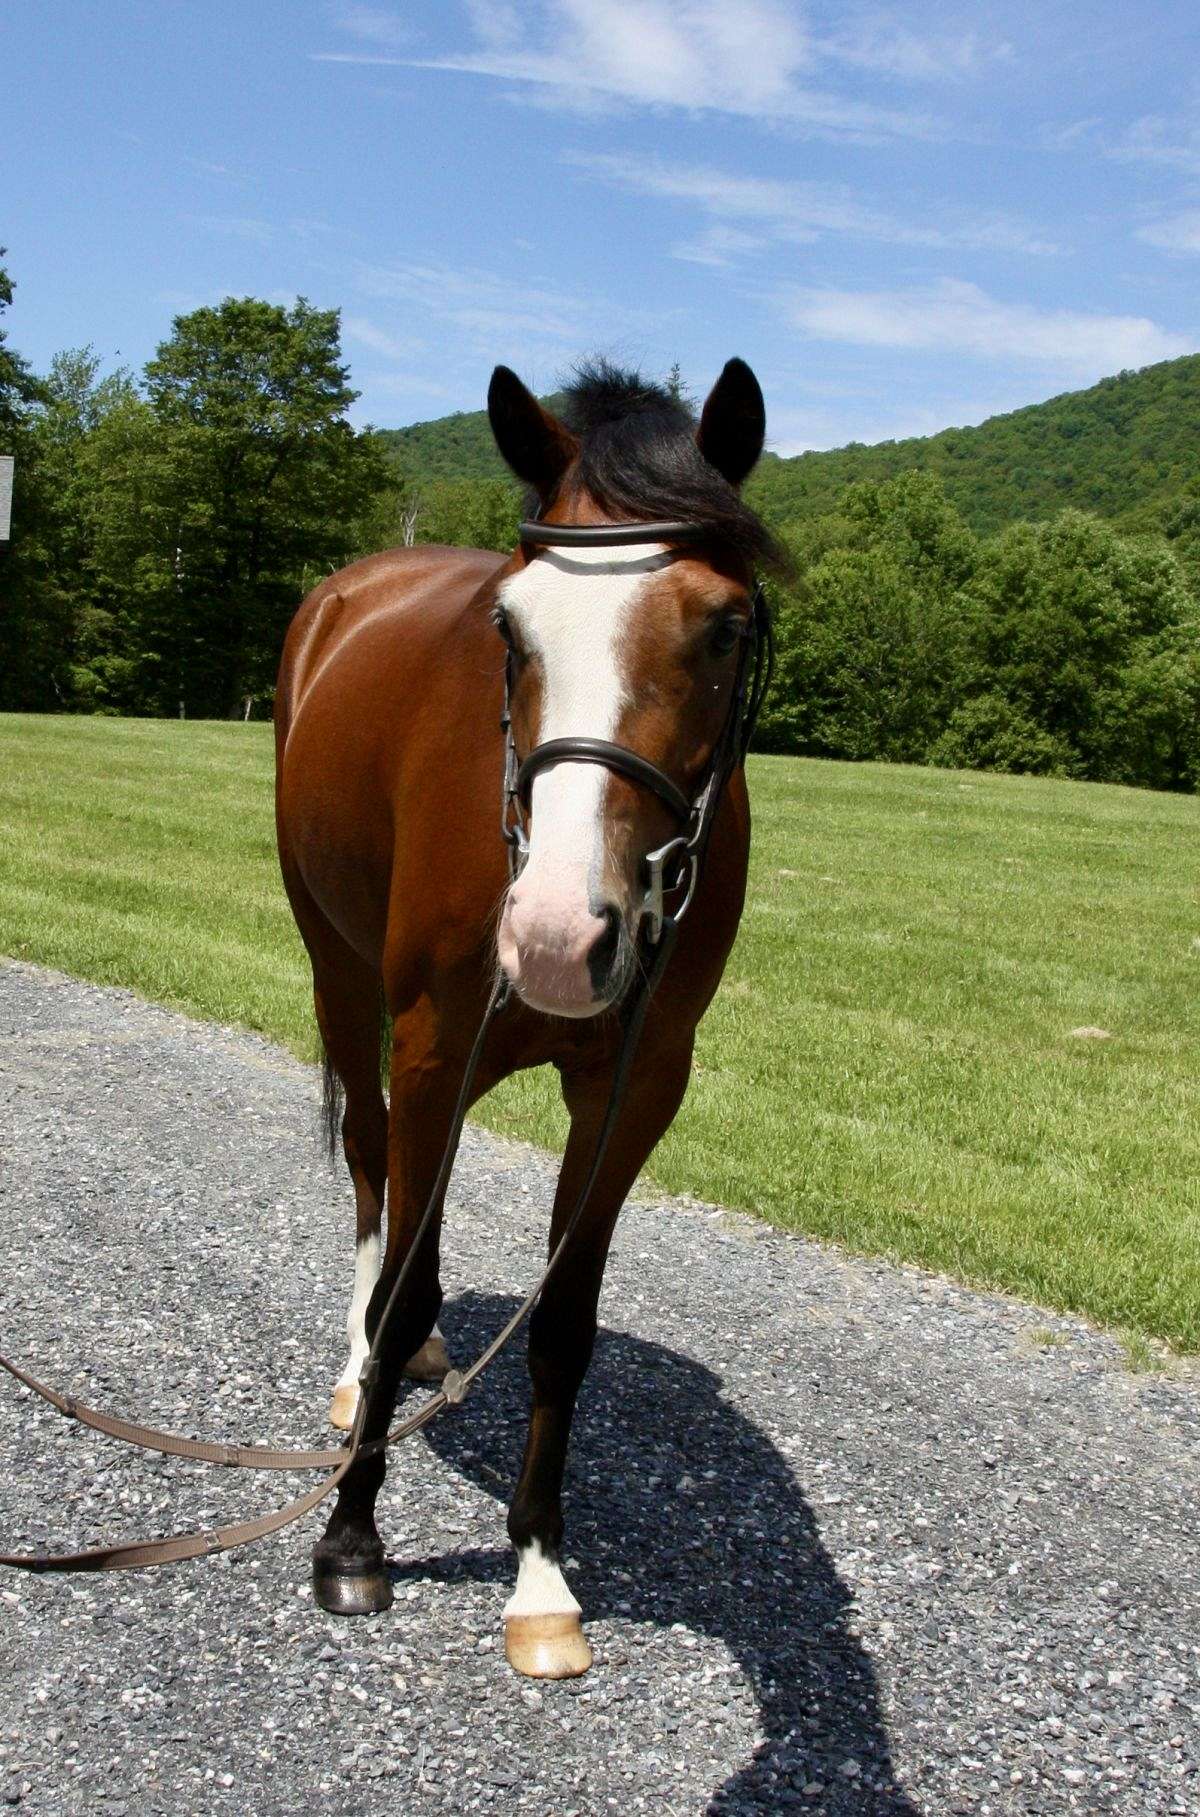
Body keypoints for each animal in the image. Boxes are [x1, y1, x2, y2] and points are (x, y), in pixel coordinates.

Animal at [273, 356, 777, 1679]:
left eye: (725, 625)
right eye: (510, 627)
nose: (556, 933)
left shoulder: (635, 1085)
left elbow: (562, 1326)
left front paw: (541, 1572)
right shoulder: (431, 1045)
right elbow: (402, 1278)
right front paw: (351, 1535)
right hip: (341, 976)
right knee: (372, 1174)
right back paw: (357, 1370)